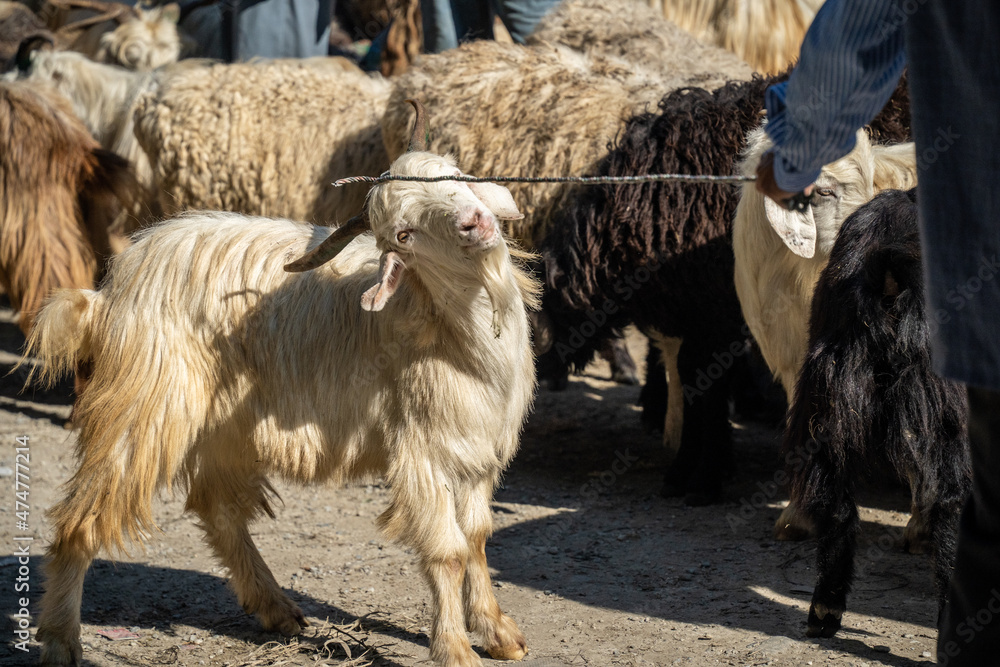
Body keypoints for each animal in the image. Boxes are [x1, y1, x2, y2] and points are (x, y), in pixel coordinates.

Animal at [28, 101, 536, 667]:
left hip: (225, 427)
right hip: (141, 408)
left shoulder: (477, 448)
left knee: (217, 509)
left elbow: (478, 538)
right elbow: (447, 551)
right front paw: (456, 649)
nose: (474, 223)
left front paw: (497, 631)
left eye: (453, 177)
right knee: (83, 519)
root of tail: (109, 290)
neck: (454, 327)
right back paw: (60, 639)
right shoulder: (423, 449)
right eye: (404, 234)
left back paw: (276, 607)